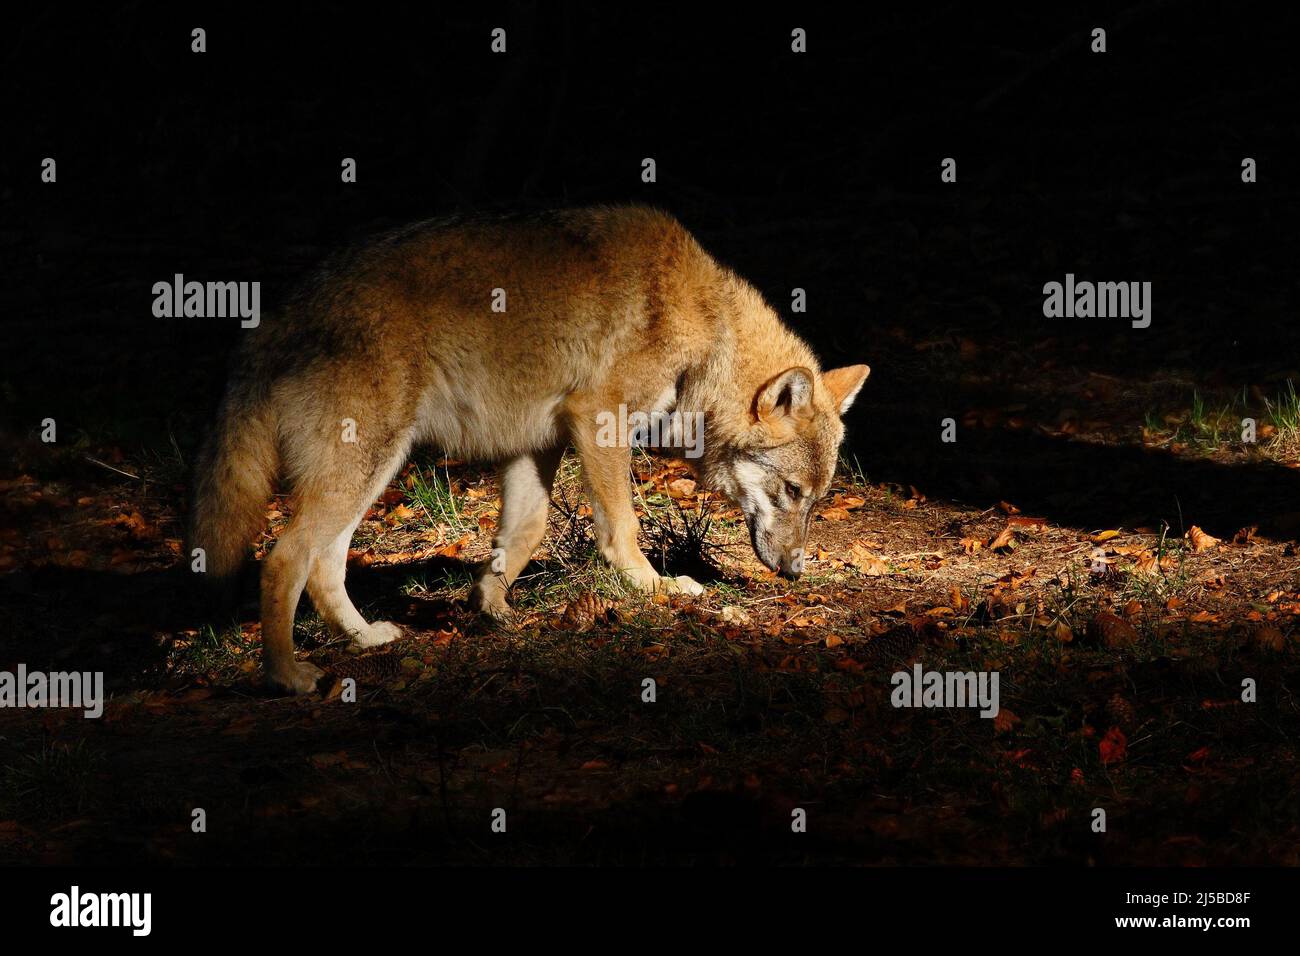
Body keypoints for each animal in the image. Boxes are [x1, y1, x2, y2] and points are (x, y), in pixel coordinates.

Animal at [191, 206, 870, 694]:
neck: (706, 329)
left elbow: (525, 533)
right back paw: (286, 677)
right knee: (284, 559)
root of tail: (272, 318)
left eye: (816, 501)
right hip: (364, 468)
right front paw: (655, 588)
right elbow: (621, 528)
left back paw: (365, 640)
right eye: (791, 492)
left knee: (325, 567)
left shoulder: (537, 444)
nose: (795, 571)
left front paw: (489, 606)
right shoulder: (598, 419)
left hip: (372, 471)